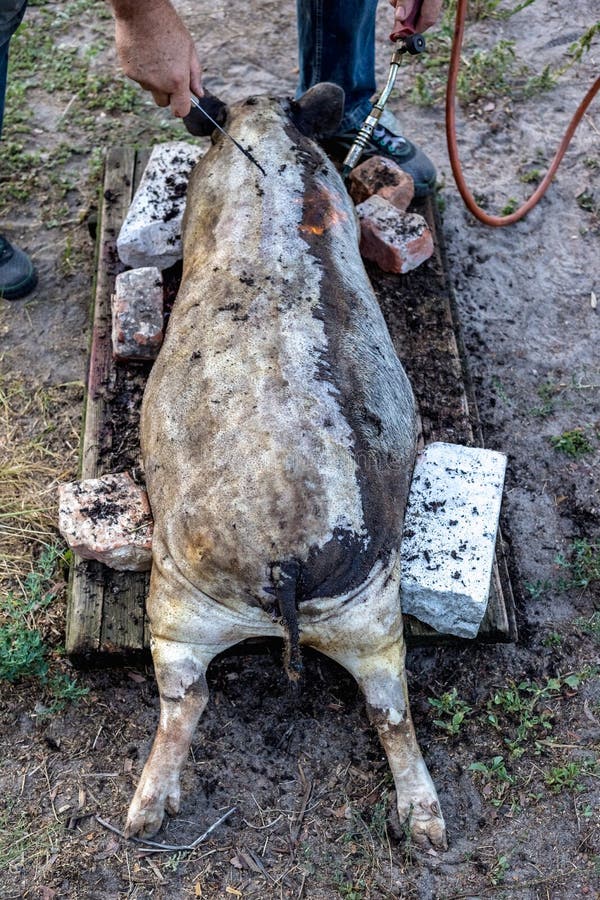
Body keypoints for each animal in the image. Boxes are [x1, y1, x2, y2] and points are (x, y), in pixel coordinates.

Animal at [126, 84, 447, 850]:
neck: (266, 137)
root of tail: (288, 567)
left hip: (177, 598)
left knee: (184, 697)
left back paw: (143, 814)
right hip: (370, 609)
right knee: (392, 710)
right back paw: (429, 828)